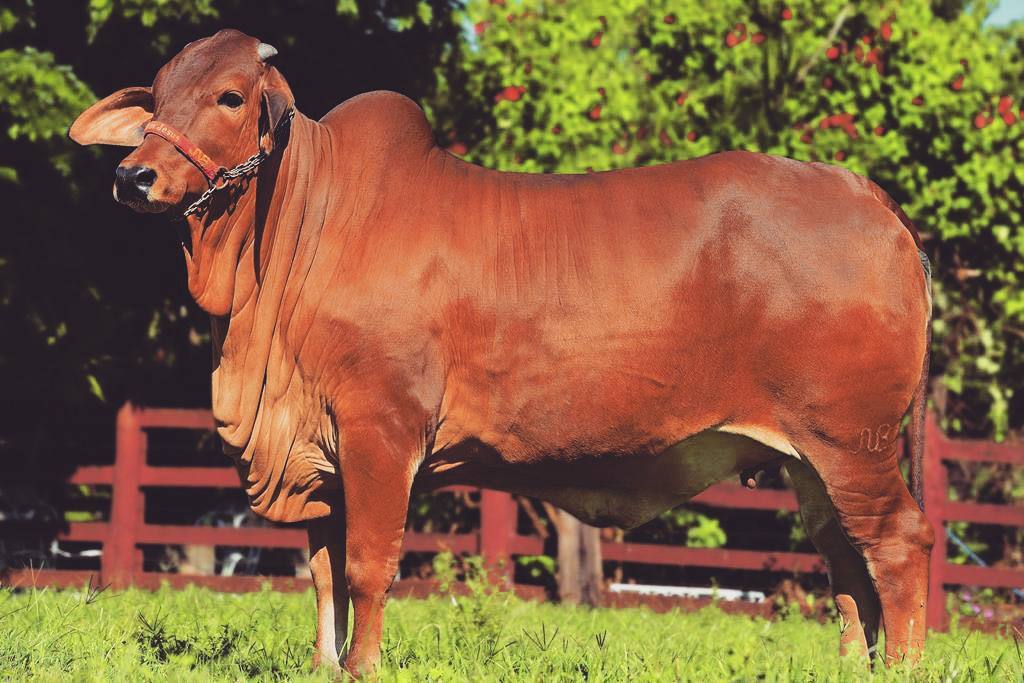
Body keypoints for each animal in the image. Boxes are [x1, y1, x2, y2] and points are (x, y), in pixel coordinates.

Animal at [69, 29, 933, 675]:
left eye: (230, 96)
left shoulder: (381, 431)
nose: (133, 175)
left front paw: (362, 666)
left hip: (853, 442)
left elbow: (367, 565)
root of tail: (873, 201)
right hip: (809, 458)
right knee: (845, 557)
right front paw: (325, 662)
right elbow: (320, 570)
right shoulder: (318, 451)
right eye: (157, 93)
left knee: (899, 546)